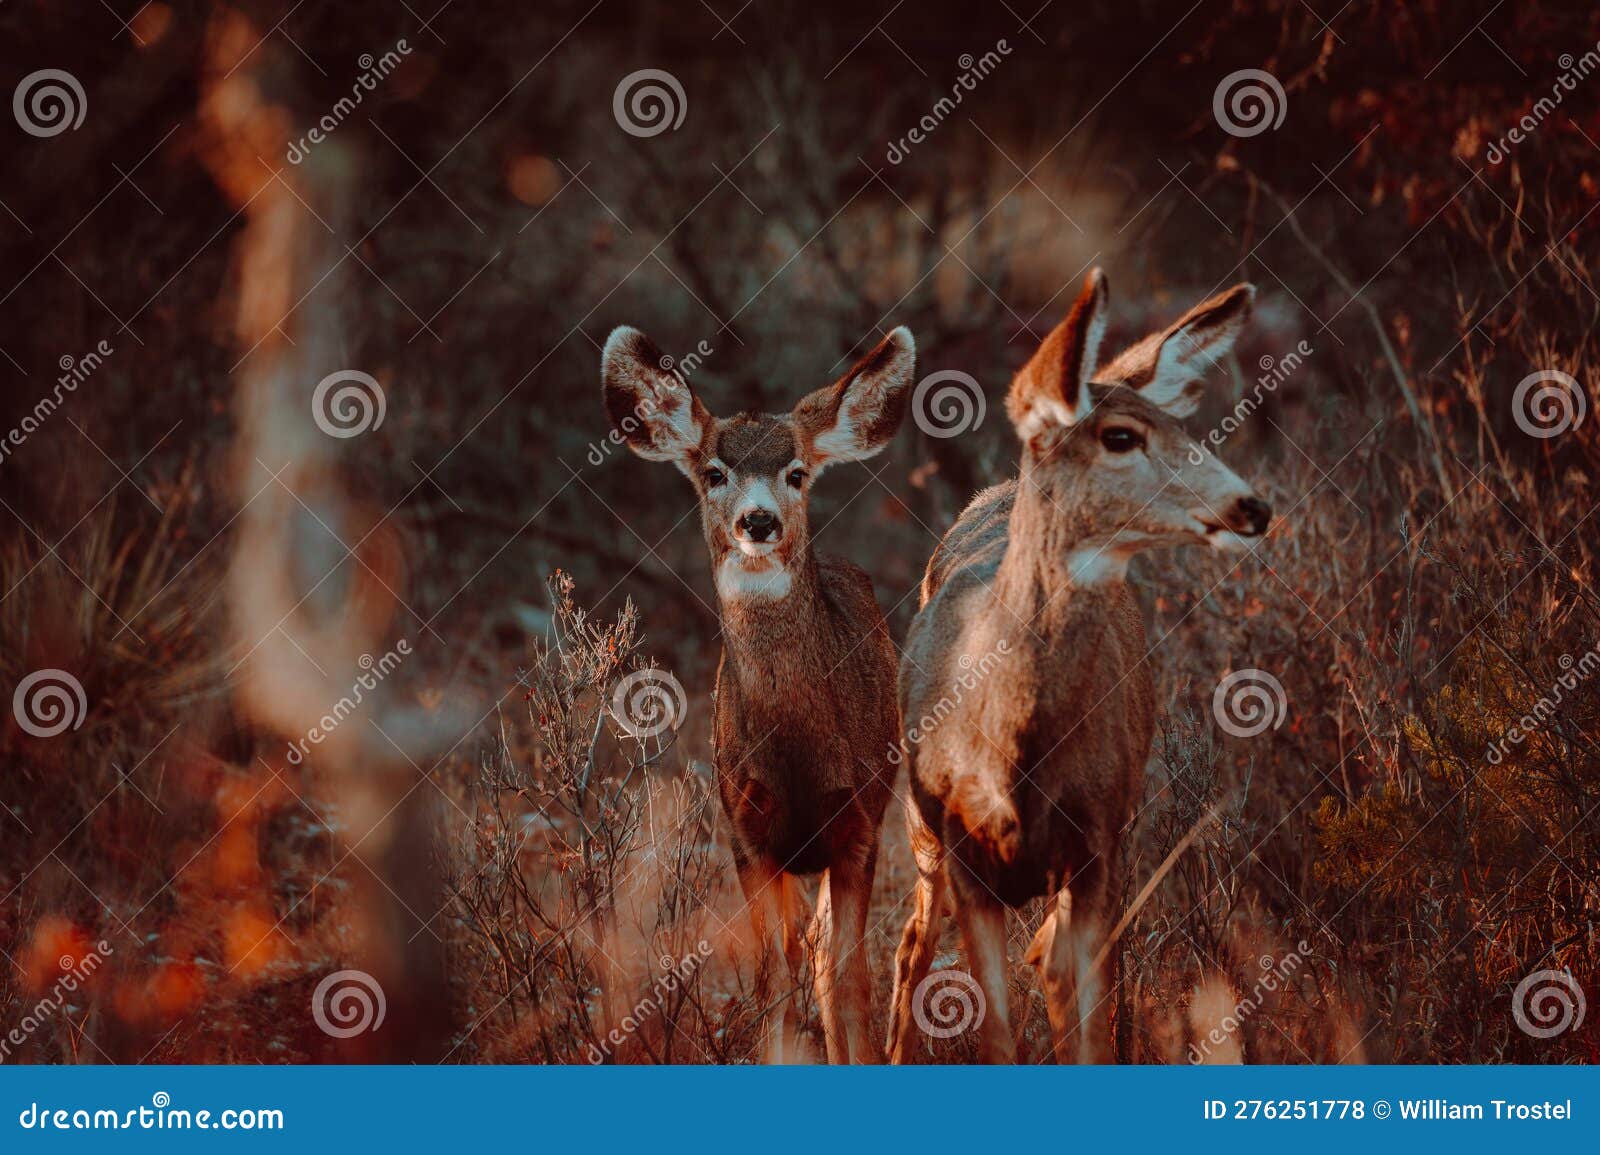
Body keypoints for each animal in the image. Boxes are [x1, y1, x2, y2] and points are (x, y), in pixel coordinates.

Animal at [601, 323, 916, 1064]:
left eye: (796, 472)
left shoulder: (859, 824)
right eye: (715, 473)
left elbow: (848, 974)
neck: (798, 754)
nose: (759, 521)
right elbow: (771, 975)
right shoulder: (745, 833)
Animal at [884, 270, 1271, 1064]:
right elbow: (997, 1035)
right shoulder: (965, 857)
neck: (1013, 751)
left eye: (1185, 427)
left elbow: (1087, 1018)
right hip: (919, 831)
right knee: (908, 948)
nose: (1253, 507)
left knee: (1052, 965)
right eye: (1120, 435)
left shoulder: (1097, 846)